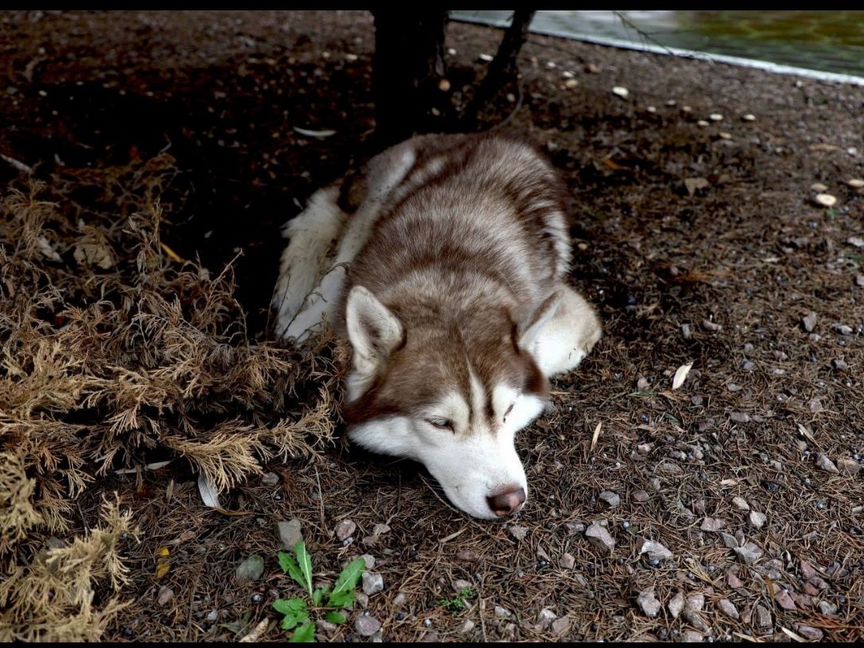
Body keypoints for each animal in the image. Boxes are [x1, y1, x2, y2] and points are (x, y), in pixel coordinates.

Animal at [272, 134, 600, 520]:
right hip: (380, 191)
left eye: (507, 411)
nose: (509, 500)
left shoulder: (576, 315)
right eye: (440, 423)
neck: (450, 280)